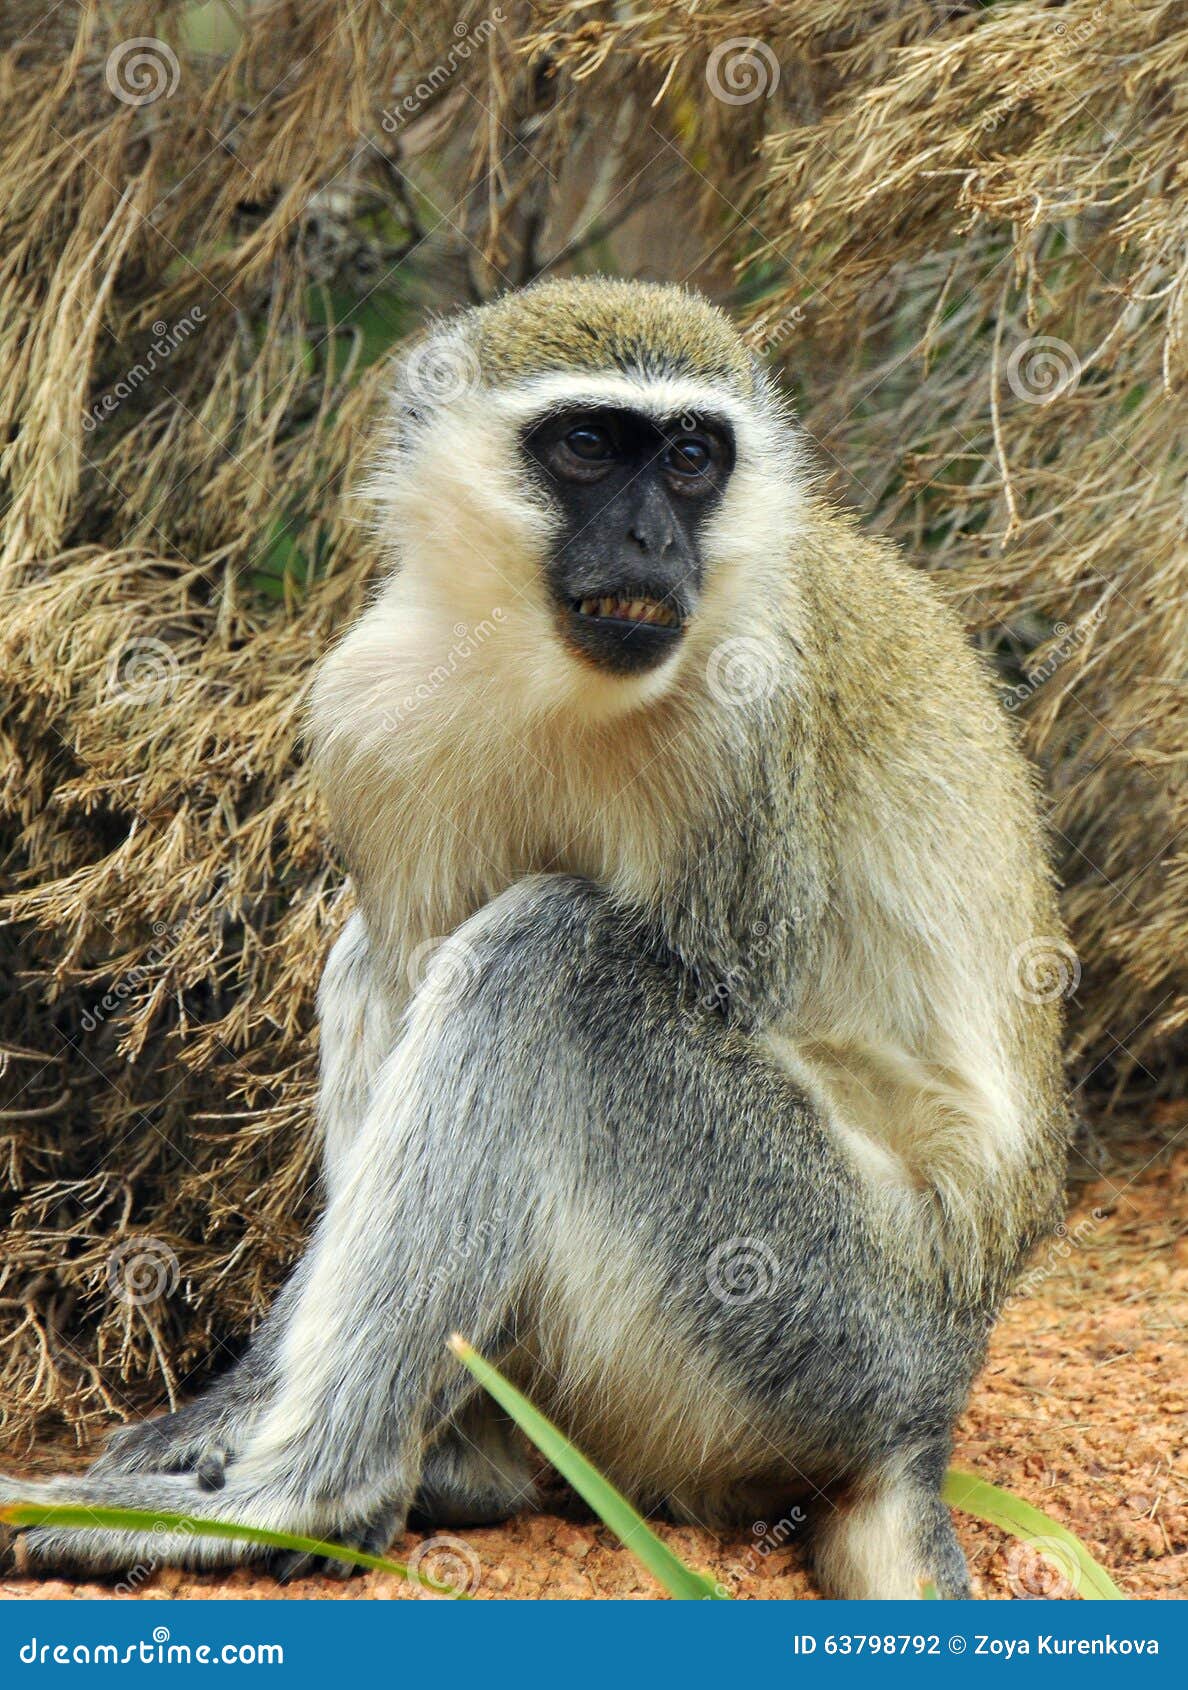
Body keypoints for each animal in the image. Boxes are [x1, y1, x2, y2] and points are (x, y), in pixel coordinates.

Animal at [1, 276, 1071, 1599]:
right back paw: (459, 1470)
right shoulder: (366, 709)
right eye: (587, 446)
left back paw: (307, 1497)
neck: (548, 670)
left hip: (826, 1315)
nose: (655, 544)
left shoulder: (745, 717)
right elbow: (401, 961)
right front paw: (226, 1405)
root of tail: (927, 1419)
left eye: (691, 458)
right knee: (387, 963)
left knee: (550, 959)